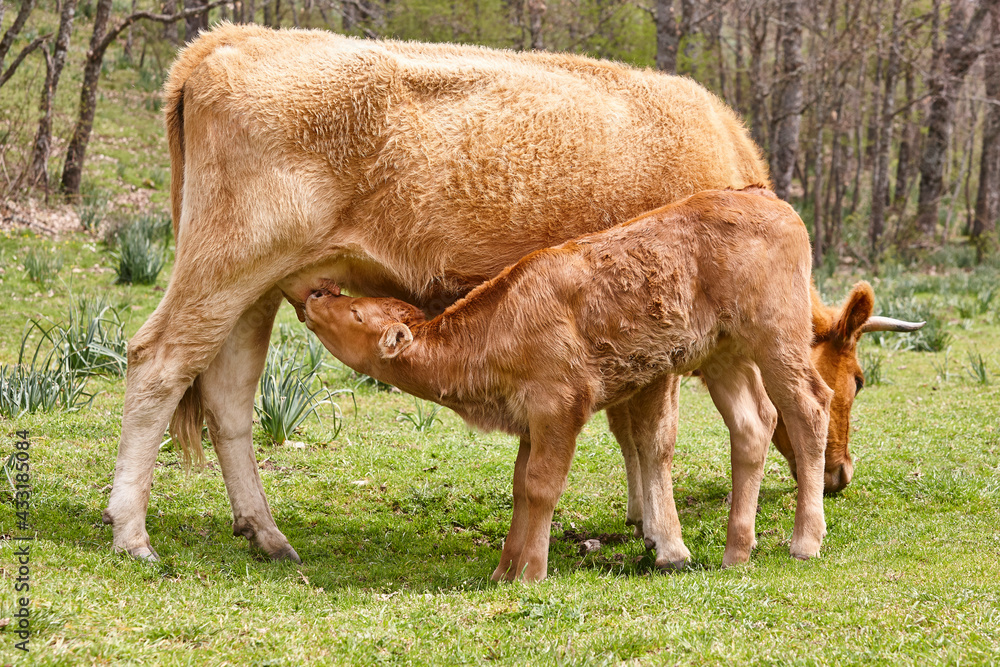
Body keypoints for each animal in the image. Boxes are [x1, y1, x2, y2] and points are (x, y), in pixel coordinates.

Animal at [302, 188, 832, 581]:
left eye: (356, 312)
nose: (316, 294)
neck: (502, 321)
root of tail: (771, 201)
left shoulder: (560, 409)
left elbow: (542, 486)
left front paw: (532, 572)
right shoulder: (528, 421)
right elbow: (521, 486)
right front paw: (503, 571)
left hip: (778, 340)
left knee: (809, 408)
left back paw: (805, 541)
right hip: (724, 354)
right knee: (753, 424)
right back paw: (735, 553)